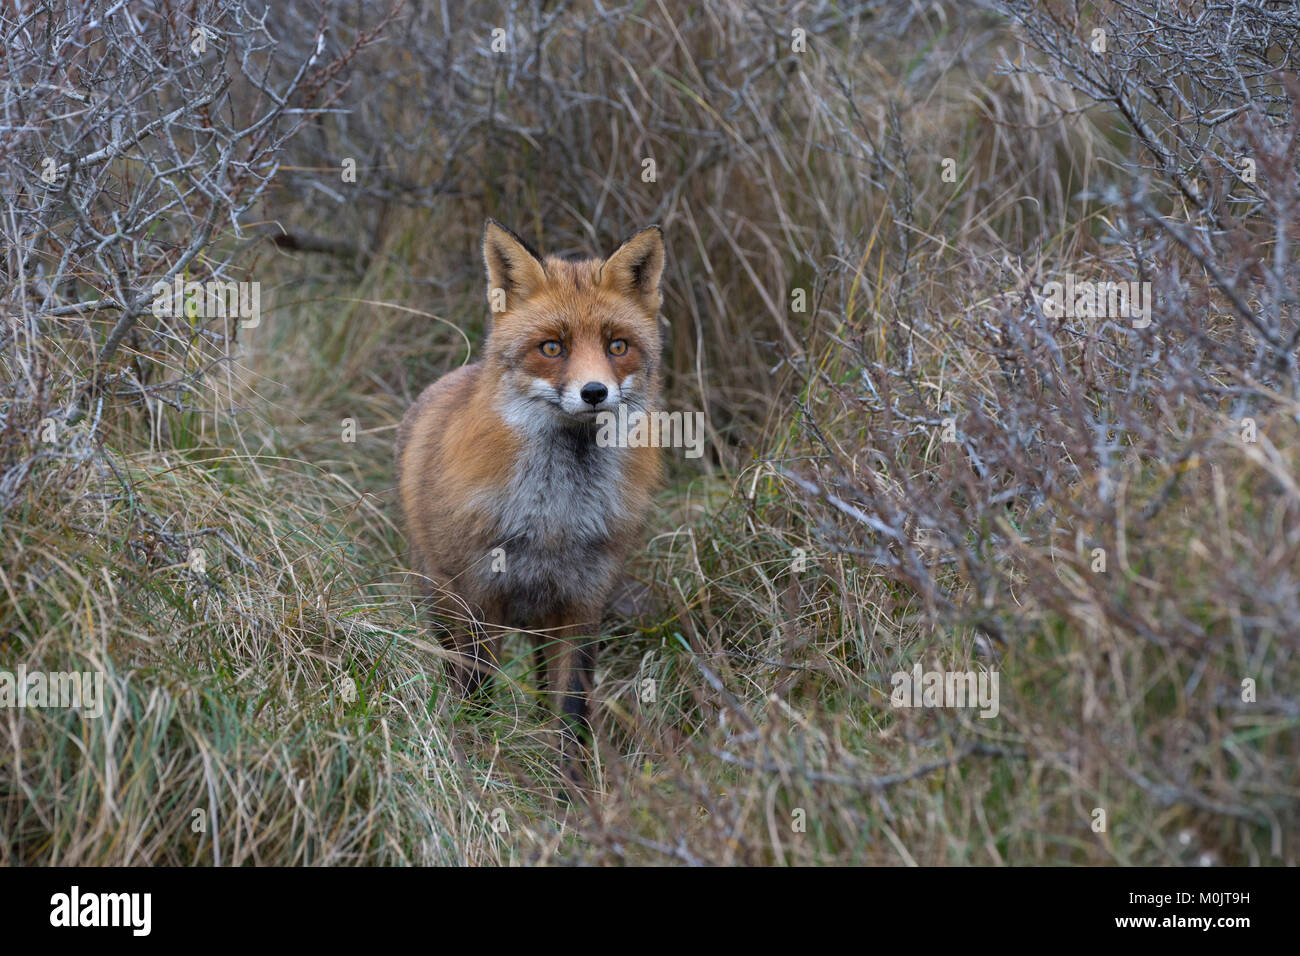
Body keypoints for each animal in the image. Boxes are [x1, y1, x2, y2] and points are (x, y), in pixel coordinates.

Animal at [395, 219, 665, 788]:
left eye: (617, 345)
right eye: (551, 347)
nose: (594, 391)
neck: (555, 519)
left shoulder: (583, 604)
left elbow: (571, 716)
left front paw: (570, 793)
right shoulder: (479, 598)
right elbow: (478, 697)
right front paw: (479, 765)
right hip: (437, 597)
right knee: (451, 670)